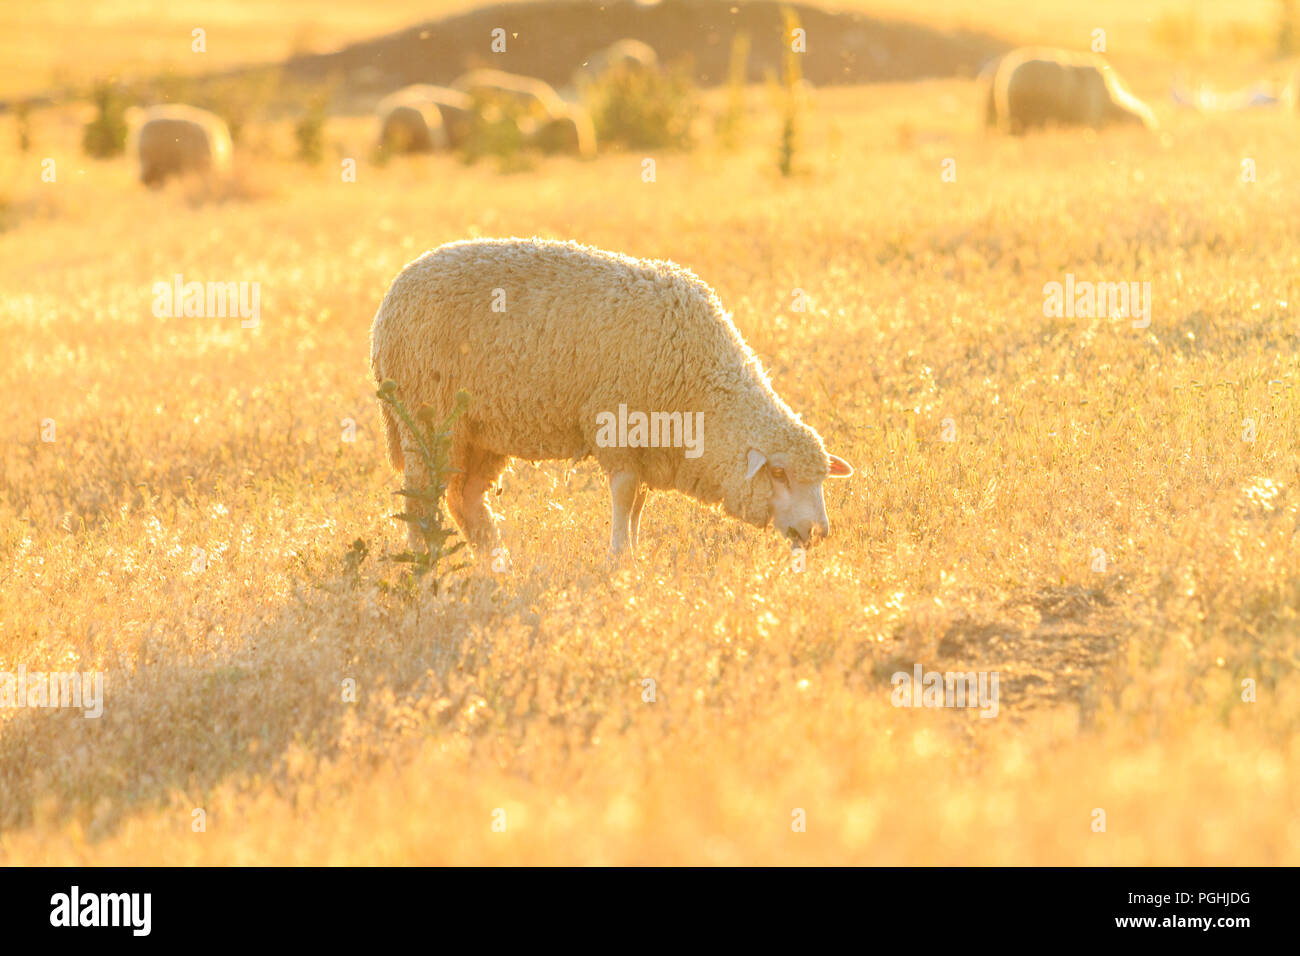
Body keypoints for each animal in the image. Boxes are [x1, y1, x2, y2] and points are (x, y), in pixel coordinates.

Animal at [370, 238, 854, 558]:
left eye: (821, 479)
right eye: (779, 473)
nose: (817, 532)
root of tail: (393, 293)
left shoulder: (650, 445)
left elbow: (638, 502)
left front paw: (633, 556)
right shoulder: (620, 428)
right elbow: (624, 496)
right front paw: (619, 559)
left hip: (481, 432)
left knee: (464, 499)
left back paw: (497, 565)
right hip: (425, 418)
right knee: (419, 499)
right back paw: (423, 562)